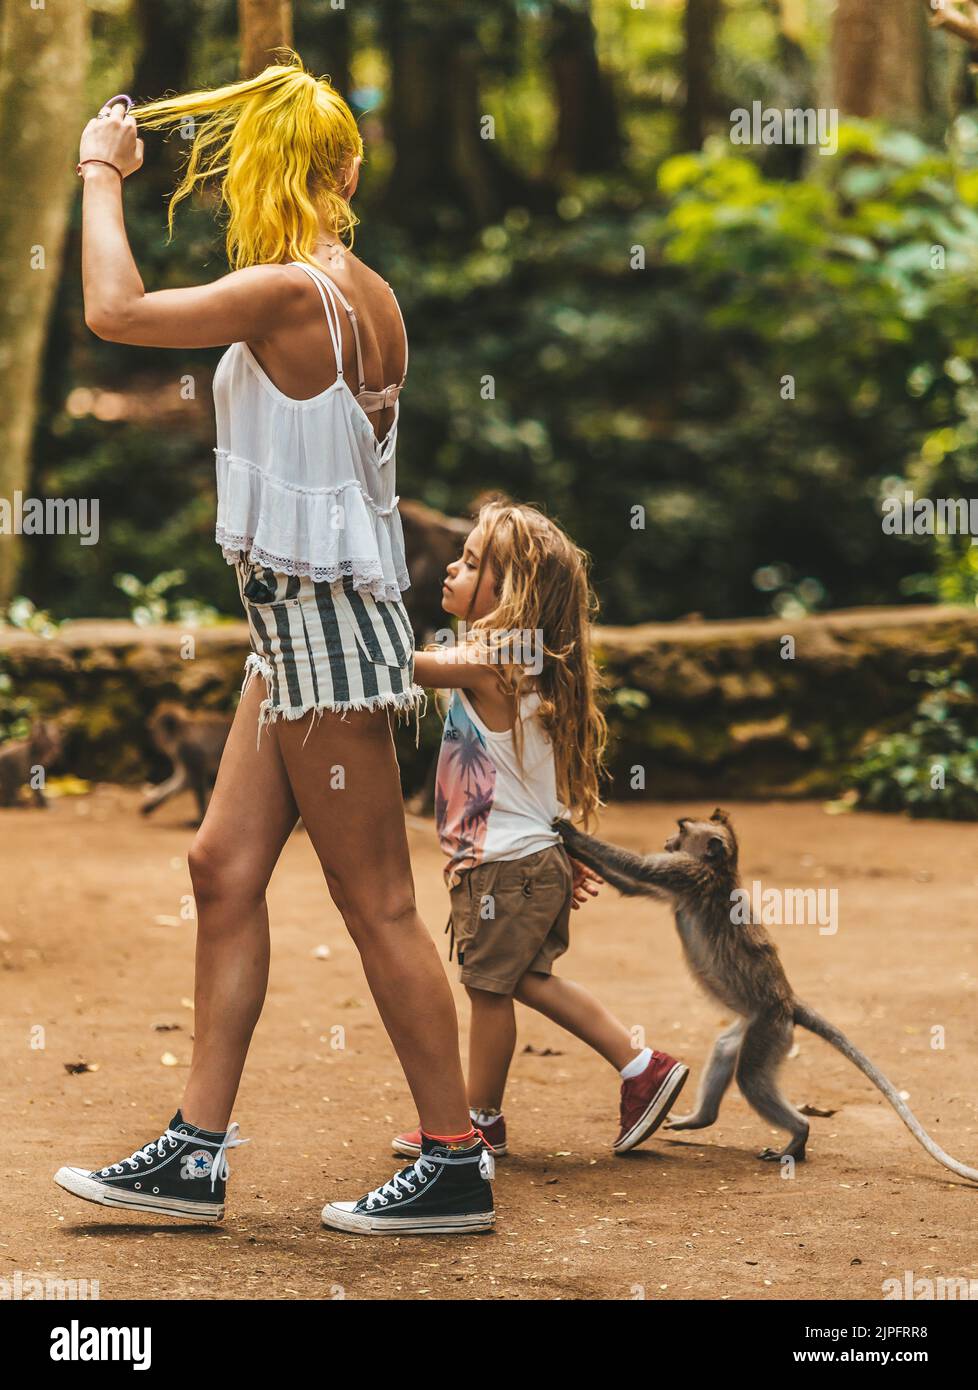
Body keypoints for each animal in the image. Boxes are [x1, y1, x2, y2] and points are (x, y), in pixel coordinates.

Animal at [555, 809, 978, 1183]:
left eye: (681, 829)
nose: (667, 839)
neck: (721, 870)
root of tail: (787, 1002)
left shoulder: (688, 875)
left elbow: (639, 869)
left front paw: (571, 834)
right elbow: (630, 885)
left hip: (769, 1031)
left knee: (751, 1077)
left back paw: (799, 1134)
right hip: (754, 1026)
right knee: (726, 1048)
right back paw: (701, 1119)